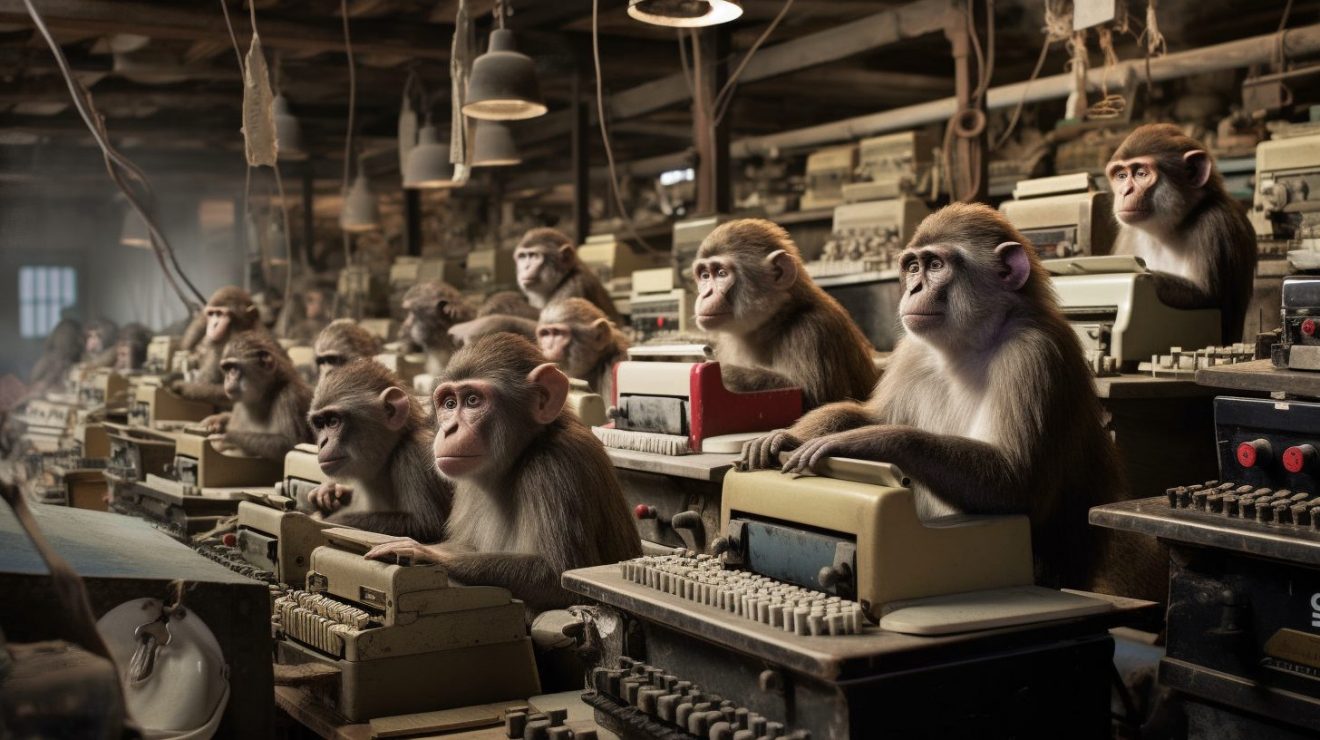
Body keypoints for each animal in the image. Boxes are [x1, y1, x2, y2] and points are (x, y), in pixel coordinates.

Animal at [304, 359, 452, 541]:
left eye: (333, 421)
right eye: (319, 423)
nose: (322, 442)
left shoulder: (415, 453)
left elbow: (425, 525)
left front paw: (327, 517)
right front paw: (328, 495)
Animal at [362, 333, 641, 615]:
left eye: (473, 400)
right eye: (449, 404)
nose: (449, 428)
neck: (520, 457)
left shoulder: (556, 470)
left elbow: (559, 578)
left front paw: (425, 553)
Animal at [691, 219, 878, 410]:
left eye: (721, 273)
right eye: (705, 275)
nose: (705, 294)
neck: (778, 320)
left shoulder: (812, 332)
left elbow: (814, 398)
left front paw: (726, 374)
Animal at [740, 203, 1160, 601]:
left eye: (936, 265)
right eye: (913, 266)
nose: (912, 289)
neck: (971, 344)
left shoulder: (1033, 356)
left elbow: (1017, 483)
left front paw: (862, 442)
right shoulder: (911, 353)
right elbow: (869, 413)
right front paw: (787, 437)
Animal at [1107, 123, 1258, 343]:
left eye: (1141, 173)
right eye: (1121, 176)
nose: (1124, 191)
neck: (1172, 227)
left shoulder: (1215, 224)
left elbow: (1206, 296)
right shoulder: (1128, 233)